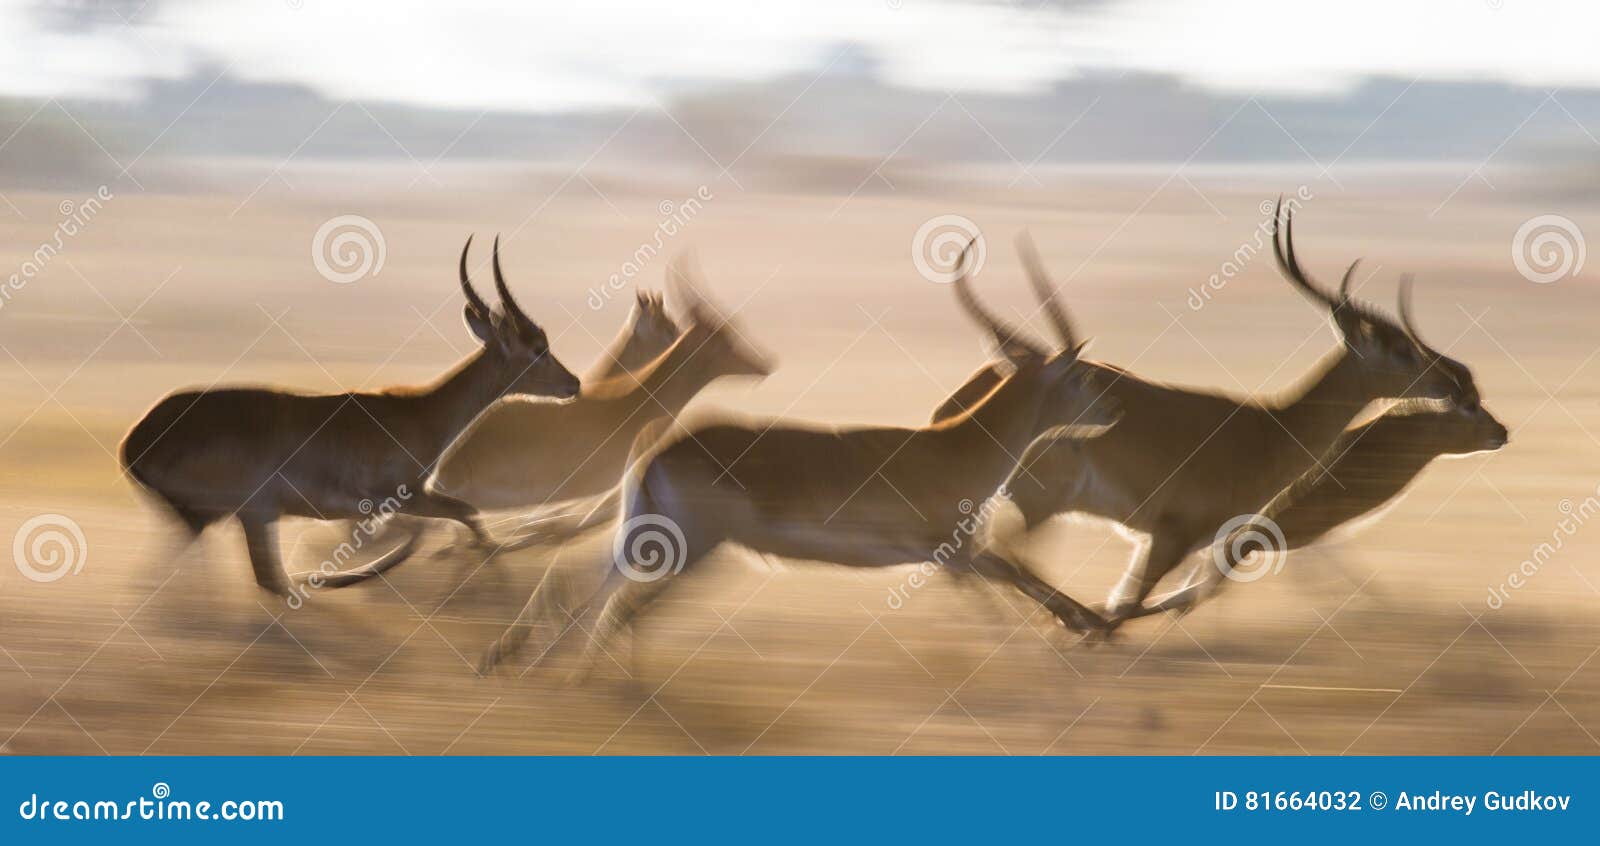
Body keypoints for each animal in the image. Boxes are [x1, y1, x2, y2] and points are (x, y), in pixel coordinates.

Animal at [119, 235, 579, 595]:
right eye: (537, 347)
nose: (573, 383)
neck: (420, 413)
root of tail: (136, 440)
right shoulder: (390, 498)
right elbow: (457, 517)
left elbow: (451, 520)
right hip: (253, 510)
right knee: (265, 580)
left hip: (219, 519)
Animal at [480, 243, 1124, 673]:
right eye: (1081, 377)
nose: (1112, 410)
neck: (959, 447)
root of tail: (657, 448)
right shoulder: (955, 555)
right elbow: (1022, 579)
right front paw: (1088, 629)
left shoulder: (953, 560)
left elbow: (1022, 579)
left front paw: (1089, 628)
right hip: (683, 547)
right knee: (607, 600)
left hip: (652, 536)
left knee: (583, 582)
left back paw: (521, 660)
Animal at [952, 202, 1482, 629]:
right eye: (1399, 347)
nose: (1456, 379)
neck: (1271, 429)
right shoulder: (1169, 536)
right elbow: (1128, 609)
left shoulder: (1190, 543)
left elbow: (1152, 602)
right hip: (1040, 506)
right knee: (999, 557)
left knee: (992, 559)